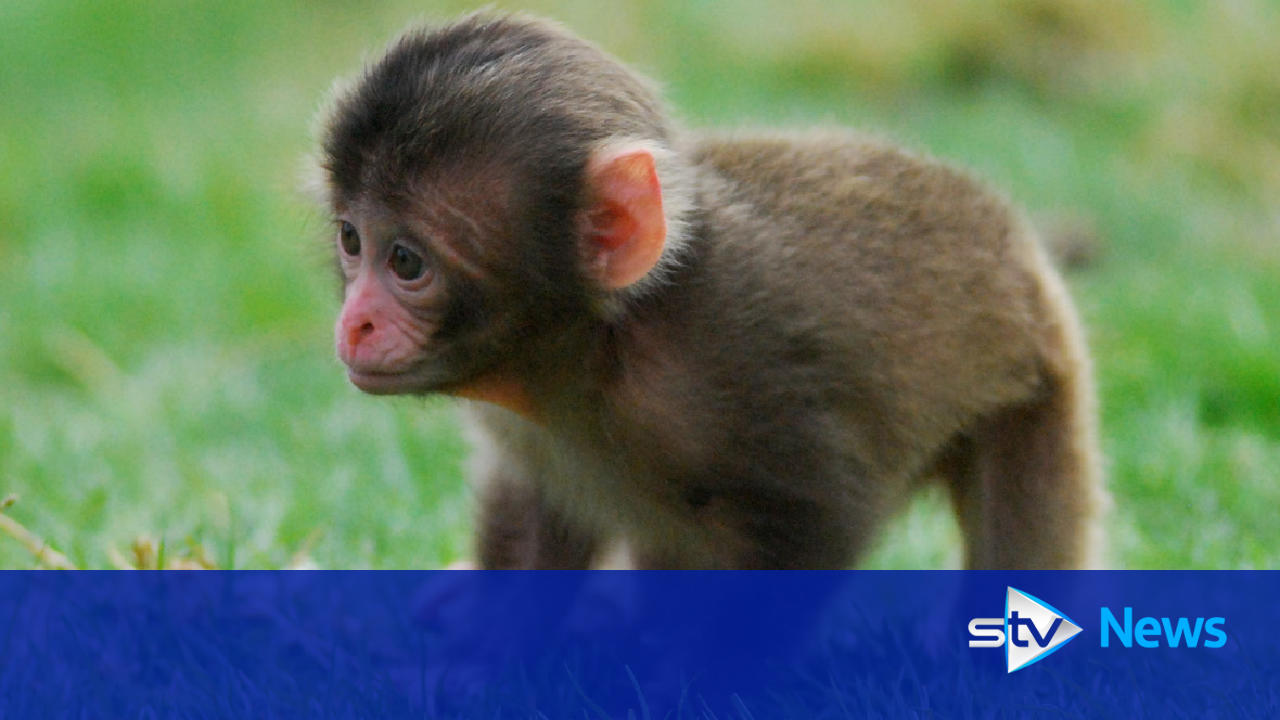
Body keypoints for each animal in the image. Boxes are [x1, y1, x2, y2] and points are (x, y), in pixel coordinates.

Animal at [315, 12, 1106, 570]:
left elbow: (814, 521)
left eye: (407, 261)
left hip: (1039, 386)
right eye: (352, 241)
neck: (597, 346)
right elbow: (536, 510)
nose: (354, 324)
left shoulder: (740, 367)